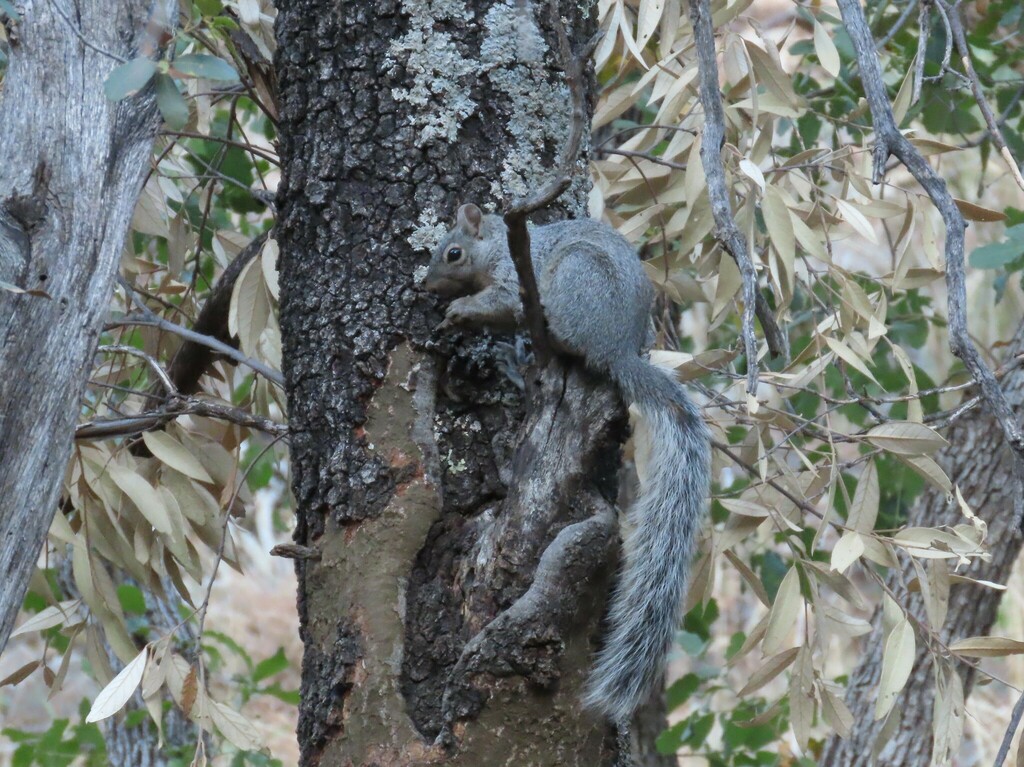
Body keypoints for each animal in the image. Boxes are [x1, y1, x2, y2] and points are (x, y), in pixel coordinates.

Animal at [422, 202, 711, 724]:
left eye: (453, 253)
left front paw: (460, 312)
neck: (499, 247)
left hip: (577, 279)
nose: (428, 287)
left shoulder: (514, 281)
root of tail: (615, 350)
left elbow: (500, 304)